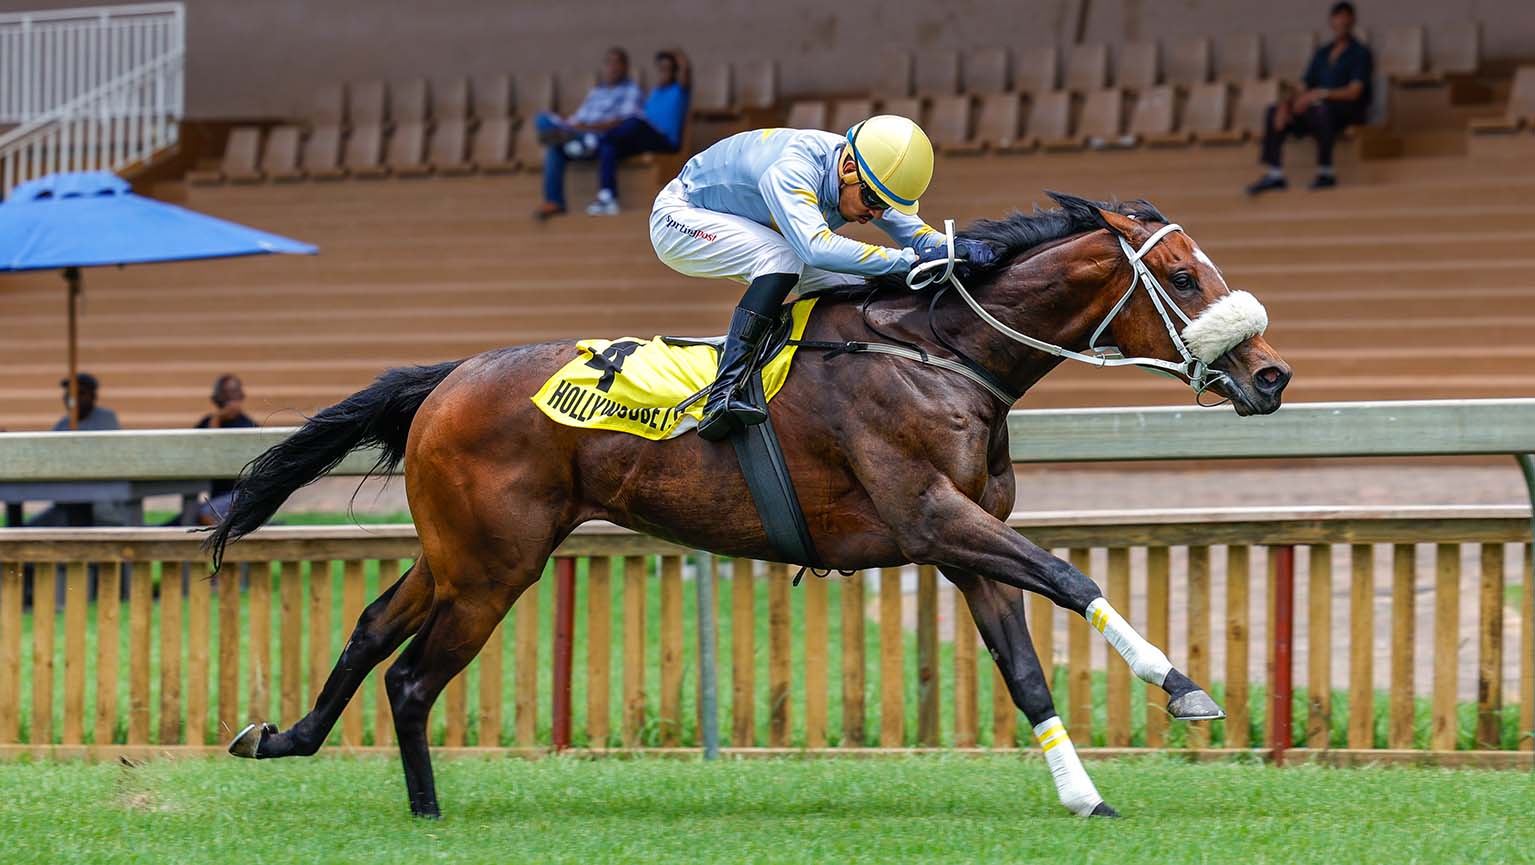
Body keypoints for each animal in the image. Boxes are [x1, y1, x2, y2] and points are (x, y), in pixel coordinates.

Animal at [212, 192, 1291, 819]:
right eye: (1184, 275)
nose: (1270, 375)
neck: (938, 351)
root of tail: (444, 379)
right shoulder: (933, 516)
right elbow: (1068, 575)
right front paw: (1181, 684)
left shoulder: (959, 543)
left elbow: (1024, 669)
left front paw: (1084, 795)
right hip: (492, 568)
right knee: (411, 678)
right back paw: (427, 813)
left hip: (459, 553)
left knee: (368, 627)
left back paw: (284, 736)